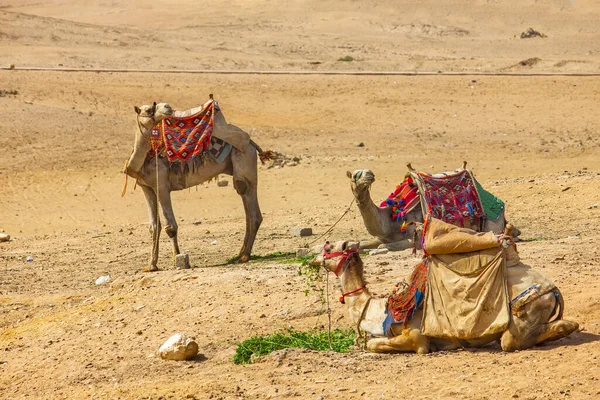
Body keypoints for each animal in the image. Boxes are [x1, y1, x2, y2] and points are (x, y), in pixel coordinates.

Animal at [124, 101, 272, 272]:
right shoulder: (147, 188)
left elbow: (170, 227)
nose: (167, 107)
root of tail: (251, 143)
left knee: (251, 206)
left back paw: (244, 256)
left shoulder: (161, 185)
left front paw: (178, 259)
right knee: (248, 209)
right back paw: (240, 253)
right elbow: (154, 227)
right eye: (149, 109)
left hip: (244, 161)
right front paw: (151, 265)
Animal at [316, 238, 580, 354]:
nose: (315, 258)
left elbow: (376, 344)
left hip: (527, 308)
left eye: (328, 247)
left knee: (510, 341)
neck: (381, 311)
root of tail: (553, 290)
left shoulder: (416, 335)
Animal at [346, 166, 516, 250]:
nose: (370, 174)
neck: (390, 220)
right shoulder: (383, 236)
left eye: (366, 172)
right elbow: (361, 244)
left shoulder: (413, 236)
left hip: (491, 223)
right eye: (355, 175)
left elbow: (388, 245)